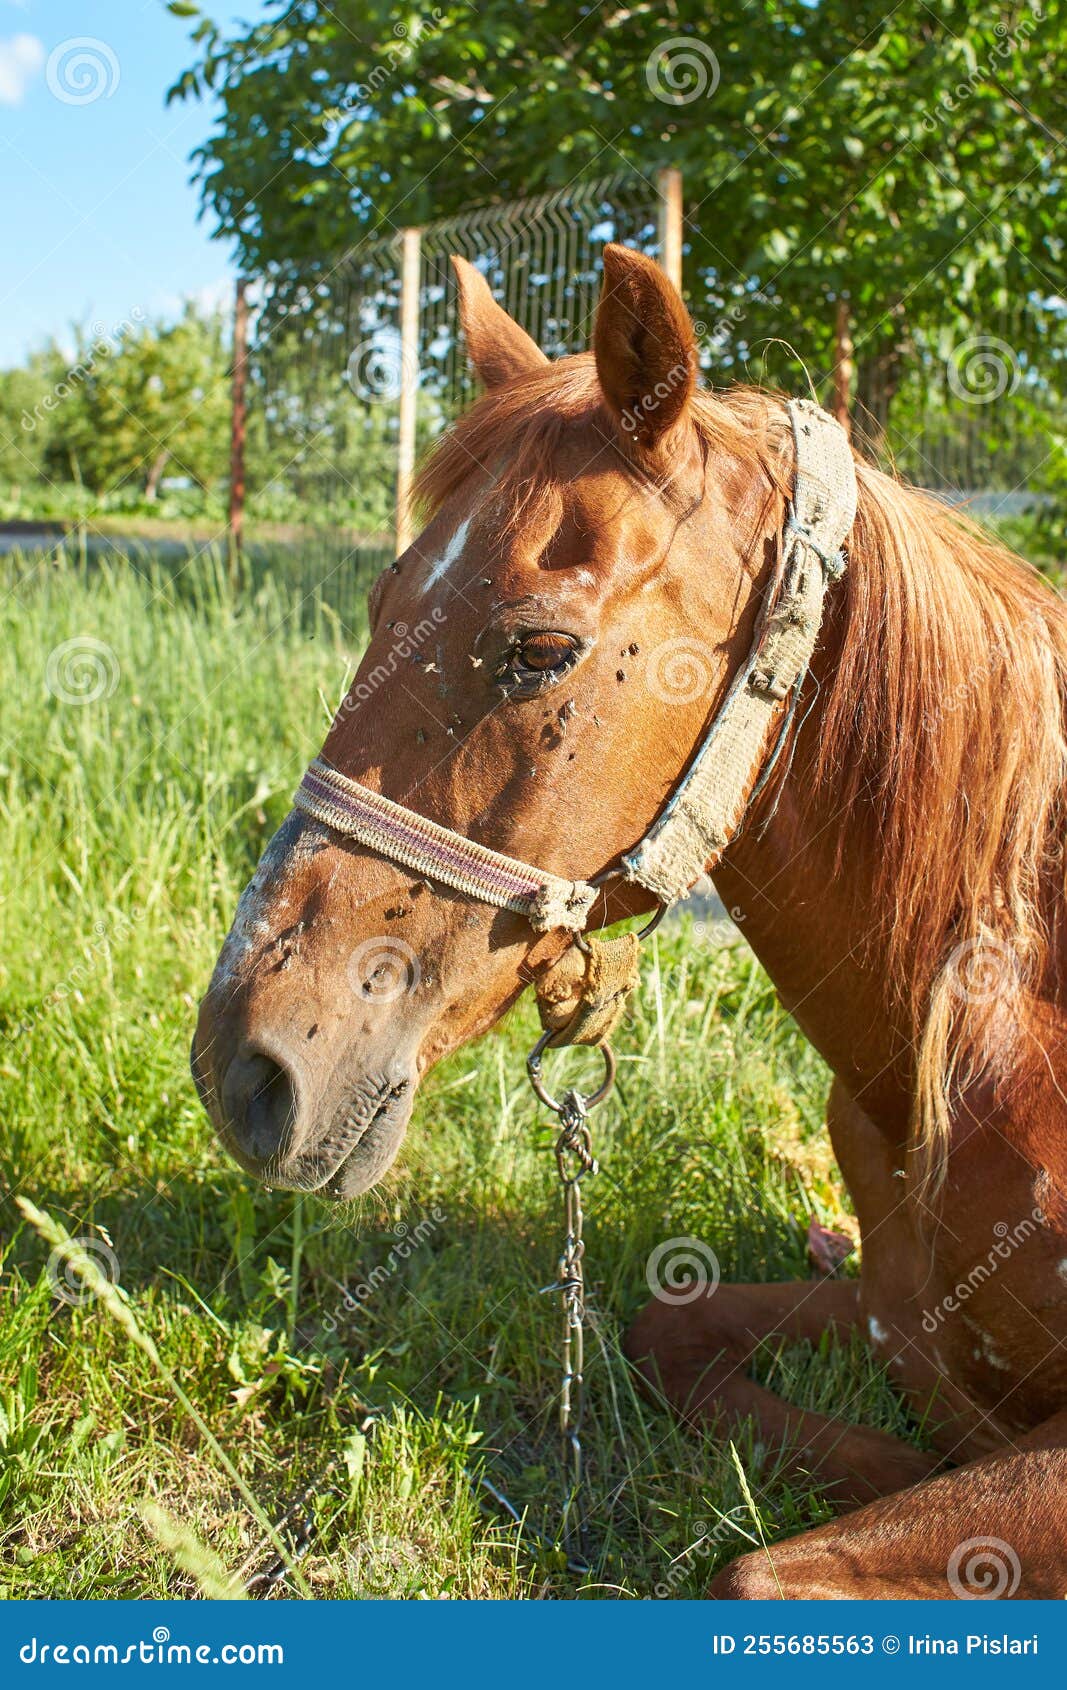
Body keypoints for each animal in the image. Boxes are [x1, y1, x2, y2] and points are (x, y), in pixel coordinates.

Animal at [192, 244, 1067, 1599]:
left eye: (537, 648)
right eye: (384, 601)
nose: (243, 1068)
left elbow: (763, 1566)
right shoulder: (873, 1304)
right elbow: (670, 1326)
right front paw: (891, 1455)